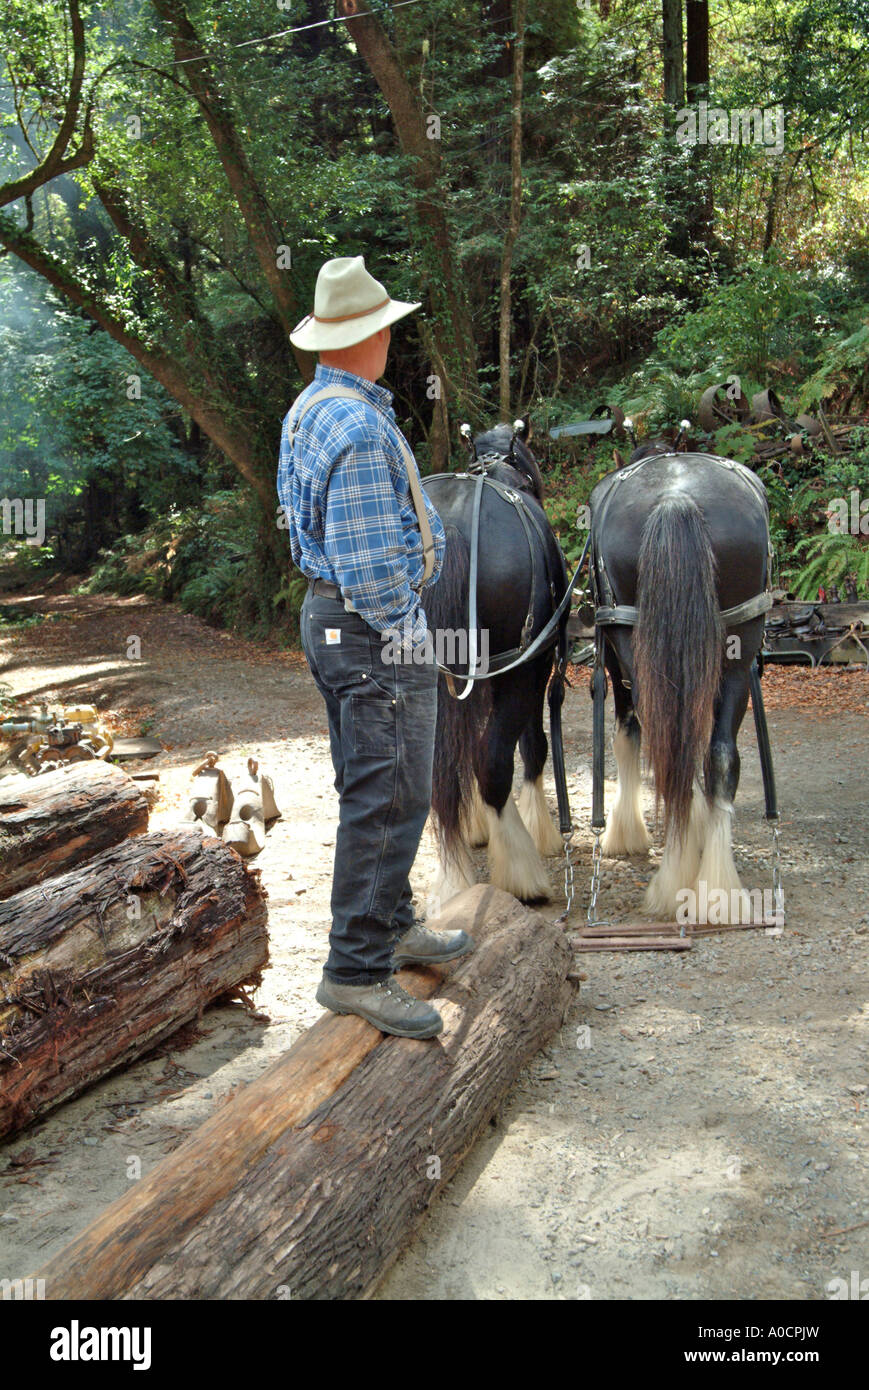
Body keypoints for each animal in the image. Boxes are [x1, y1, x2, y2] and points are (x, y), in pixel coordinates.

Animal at [422, 417, 570, 906]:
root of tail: (450, 526)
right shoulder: (533, 664)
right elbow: (532, 746)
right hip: (523, 669)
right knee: (494, 762)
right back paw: (523, 872)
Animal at [589, 447, 773, 922]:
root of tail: (676, 497)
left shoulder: (618, 666)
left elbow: (627, 735)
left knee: (675, 748)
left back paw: (677, 877)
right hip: (738, 645)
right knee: (715, 753)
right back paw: (714, 887)